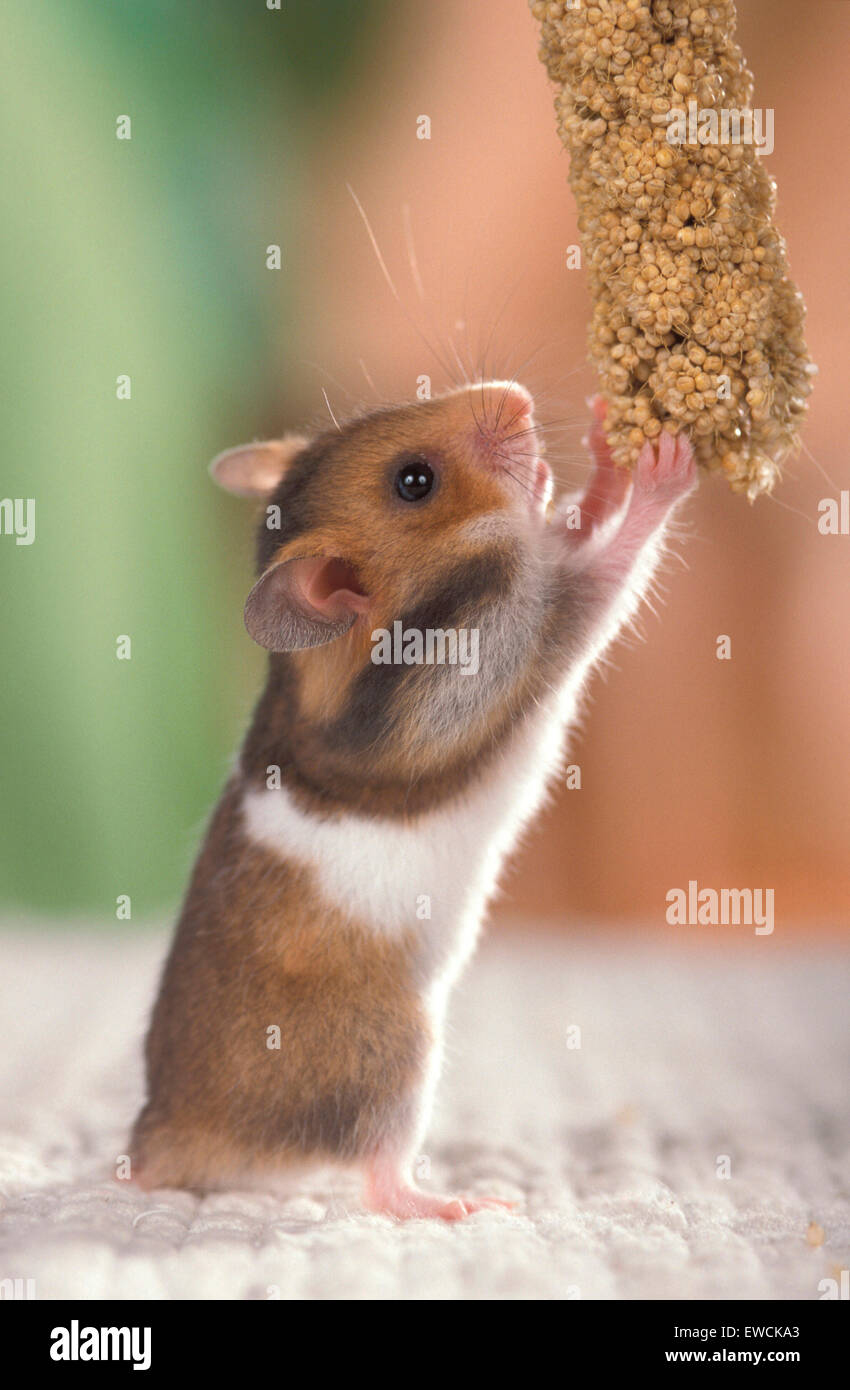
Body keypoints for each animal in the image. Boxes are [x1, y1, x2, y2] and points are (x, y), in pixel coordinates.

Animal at [130, 384, 696, 1220]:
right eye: (414, 482)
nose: (519, 397)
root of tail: (158, 1144)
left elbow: (582, 525)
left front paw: (598, 443)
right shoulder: (516, 641)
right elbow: (601, 570)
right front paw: (664, 463)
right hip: (397, 1055)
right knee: (380, 1177)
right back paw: (465, 1204)